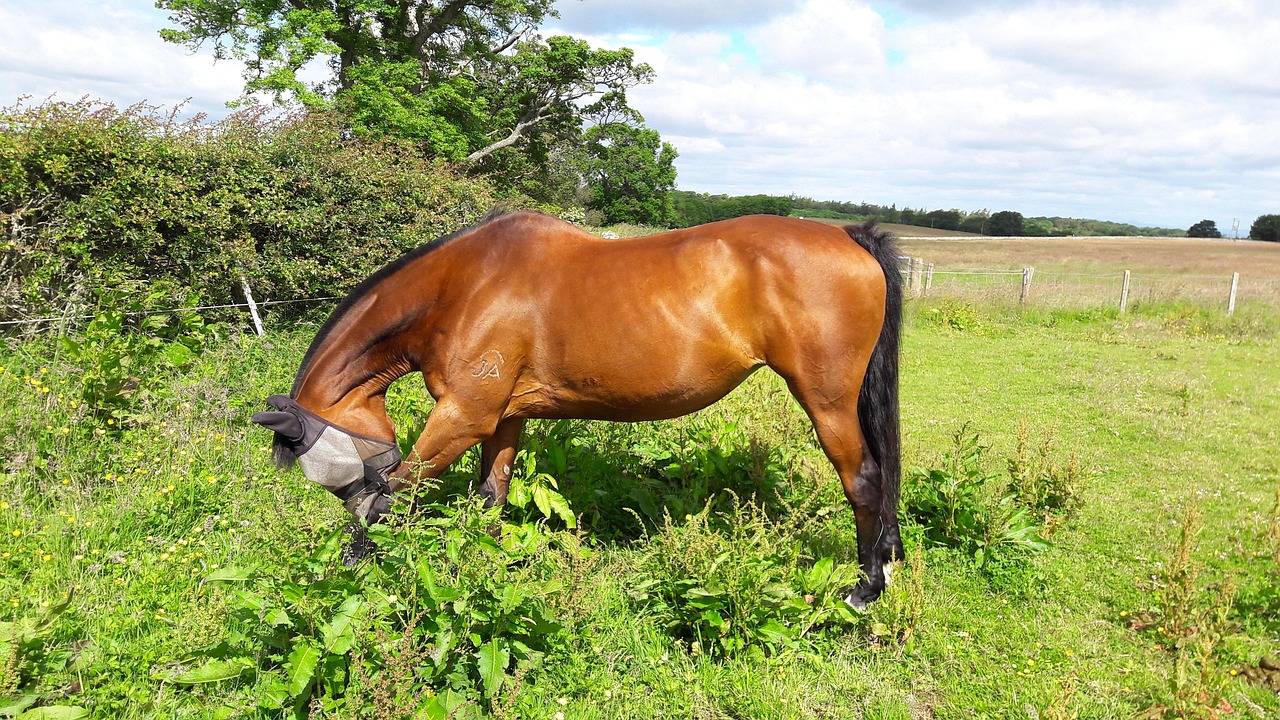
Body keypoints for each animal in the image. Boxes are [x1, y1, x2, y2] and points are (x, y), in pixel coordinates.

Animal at [252, 211, 903, 607]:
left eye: (321, 468)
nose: (348, 500)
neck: (463, 287)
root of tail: (851, 235)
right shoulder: (505, 418)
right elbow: (488, 498)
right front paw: (486, 569)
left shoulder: (462, 417)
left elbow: (395, 494)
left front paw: (350, 566)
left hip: (827, 402)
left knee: (865, 480)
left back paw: (865, 588)